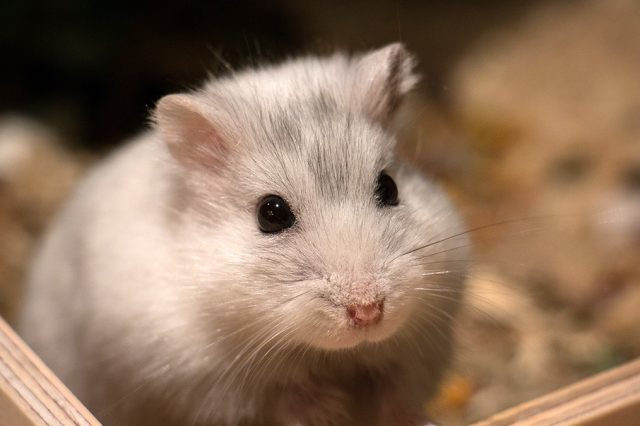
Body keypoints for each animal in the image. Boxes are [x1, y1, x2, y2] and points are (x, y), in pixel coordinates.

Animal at [19, 43, 469, 426]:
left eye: (389, 187)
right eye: (270, 214)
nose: (368, 312)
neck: (331, 354)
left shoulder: (417, 349)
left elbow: (395, 395)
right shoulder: (206, 382)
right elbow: (283, 397)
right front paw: (330, 409)